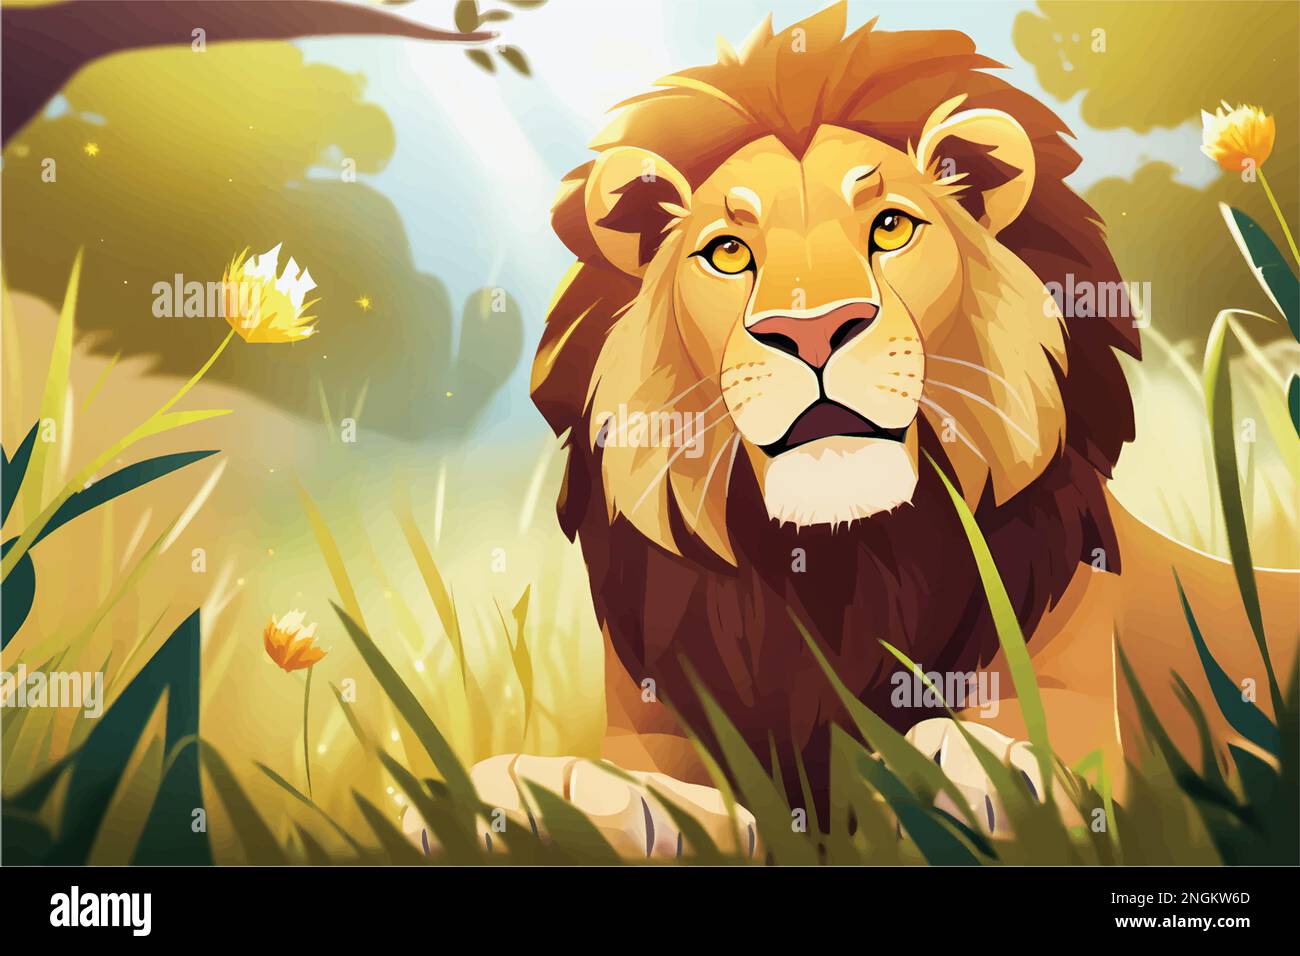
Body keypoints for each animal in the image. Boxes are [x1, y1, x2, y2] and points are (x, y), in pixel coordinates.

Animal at [405, 4, 1297, 858]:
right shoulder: (653, 712)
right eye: (728, 253)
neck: (836, 563)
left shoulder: (1080, 679)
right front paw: (539, 796)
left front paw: (971, 768)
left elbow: (1048, 741)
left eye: (892, 228)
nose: (812, 331)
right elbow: (623, 772)